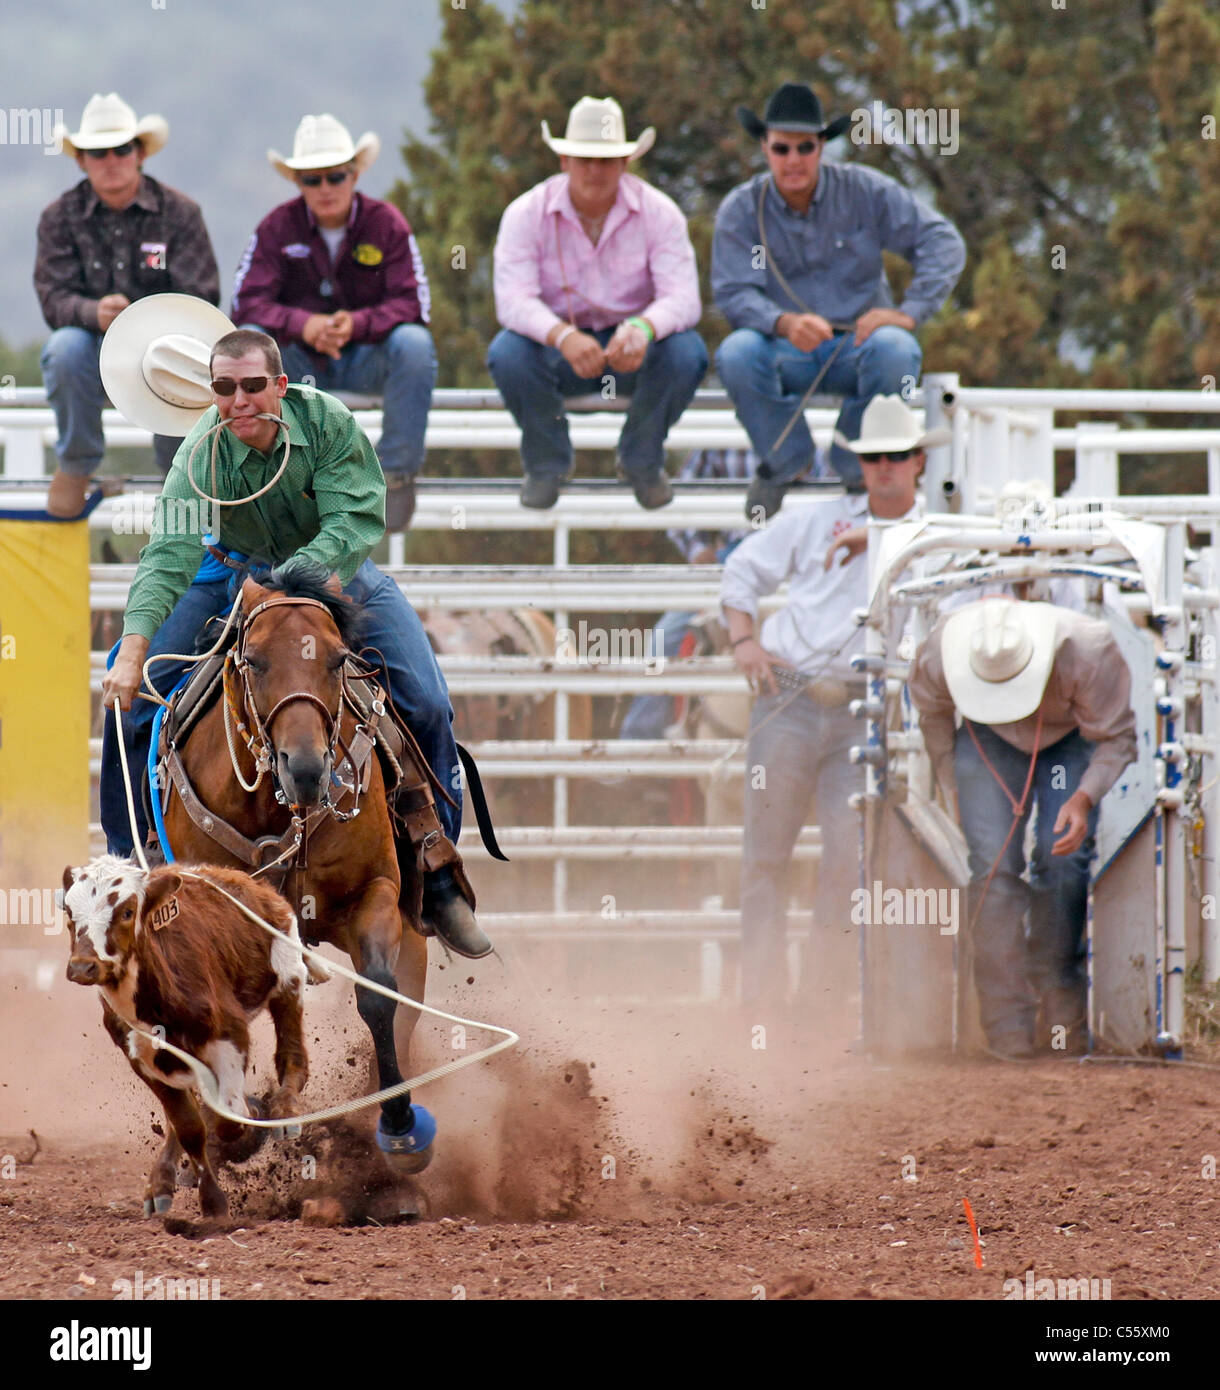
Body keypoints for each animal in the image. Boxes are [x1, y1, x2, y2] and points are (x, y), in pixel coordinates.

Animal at [59, 855, 326, 1219]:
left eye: (127, 911)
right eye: (68, 911)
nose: (83, 967)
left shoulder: (230, 1035)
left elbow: (227, 1116)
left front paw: (249, 1118)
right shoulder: (141, 1057)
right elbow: (188, 1126)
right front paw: (211, 1201)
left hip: (289, 978)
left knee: (292, 1057)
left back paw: (285, 1112)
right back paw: (160, 1182)